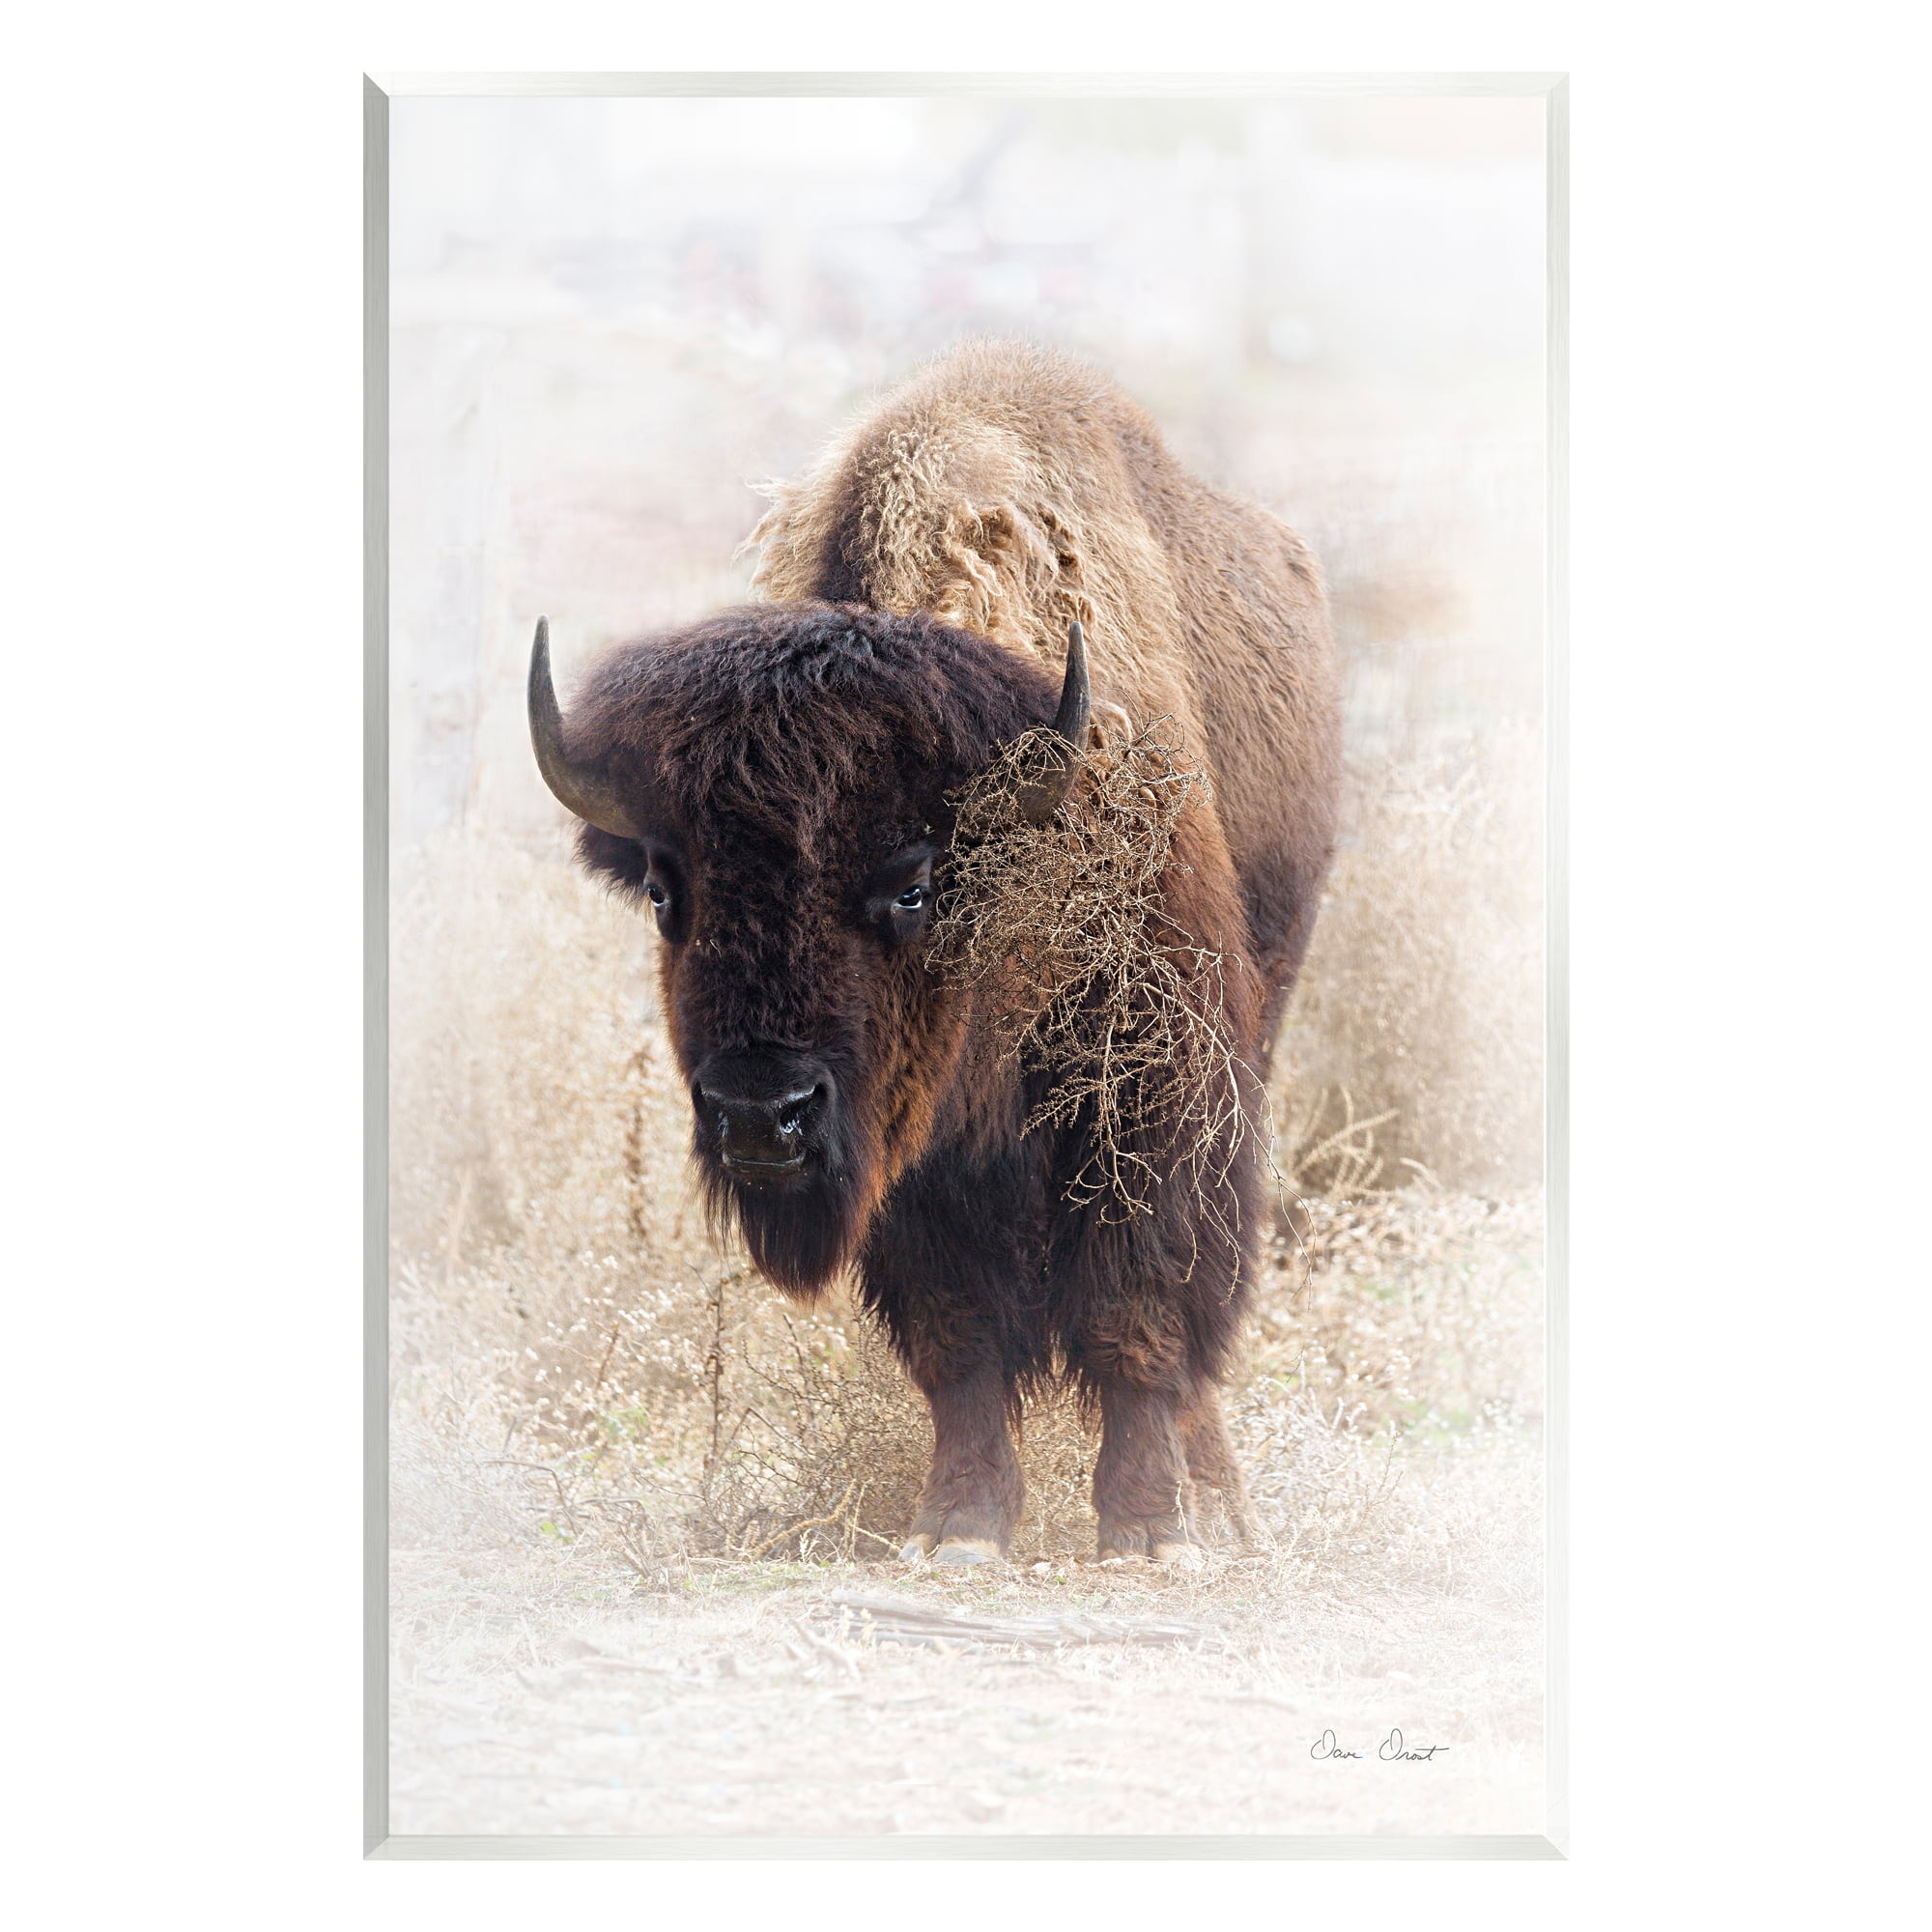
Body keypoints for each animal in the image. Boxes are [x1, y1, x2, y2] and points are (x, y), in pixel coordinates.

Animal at [528, 340, 1340, 1565]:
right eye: (667, 891)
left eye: (911, 883)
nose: (760, 1113)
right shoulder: (915, 1159)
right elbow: (957, 1335)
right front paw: (958, 1523)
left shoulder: (1156, 1093)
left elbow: (1137, 1309)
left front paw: (1147, 1528)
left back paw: (1218, 1504)